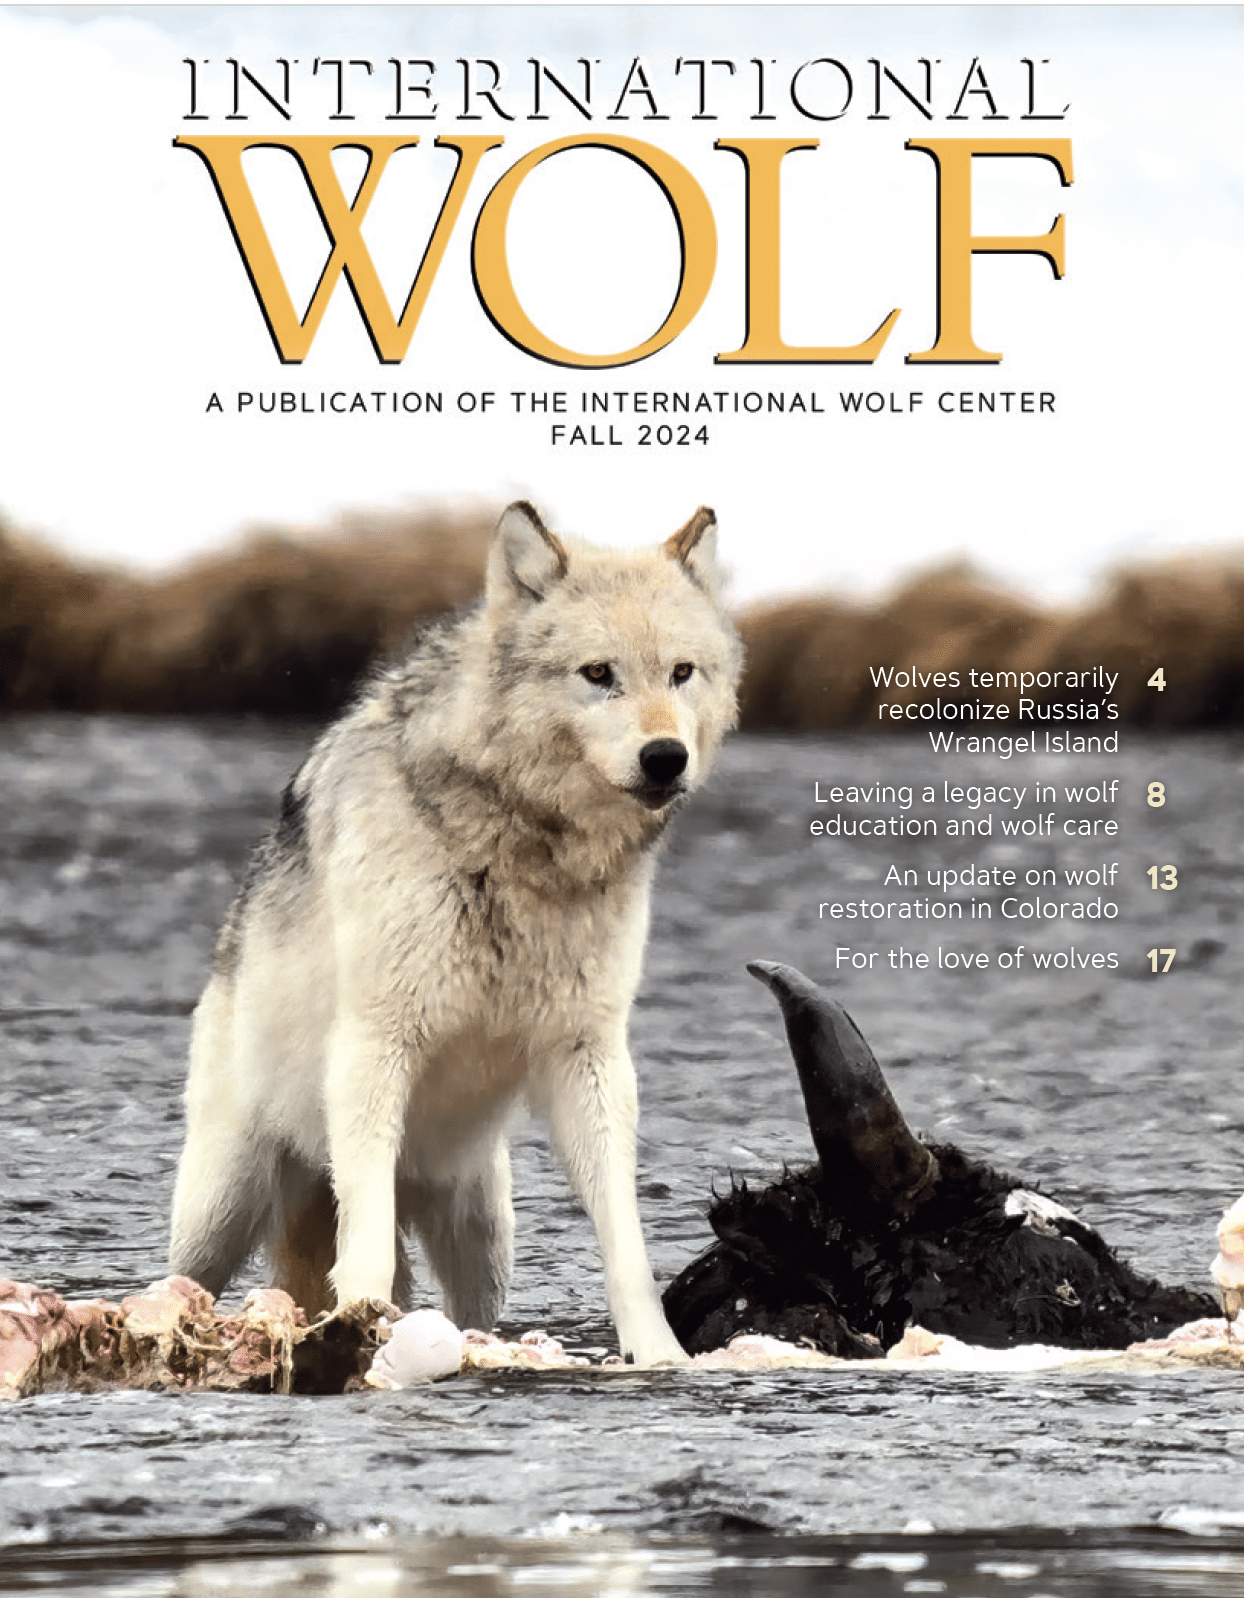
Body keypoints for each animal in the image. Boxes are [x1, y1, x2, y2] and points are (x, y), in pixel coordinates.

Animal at [169, 501, 741, 1365]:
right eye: (598, 674)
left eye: (681, 672)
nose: (666, 757)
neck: (520, 845)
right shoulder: (376, 1045)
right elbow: (366, 1239)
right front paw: (362, 1332)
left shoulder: (590, 1055)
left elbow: (624, 1239)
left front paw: (660, 1358)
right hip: (223, 1202)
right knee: (192, 1272)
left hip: (483, 1230)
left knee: (469, 1302)